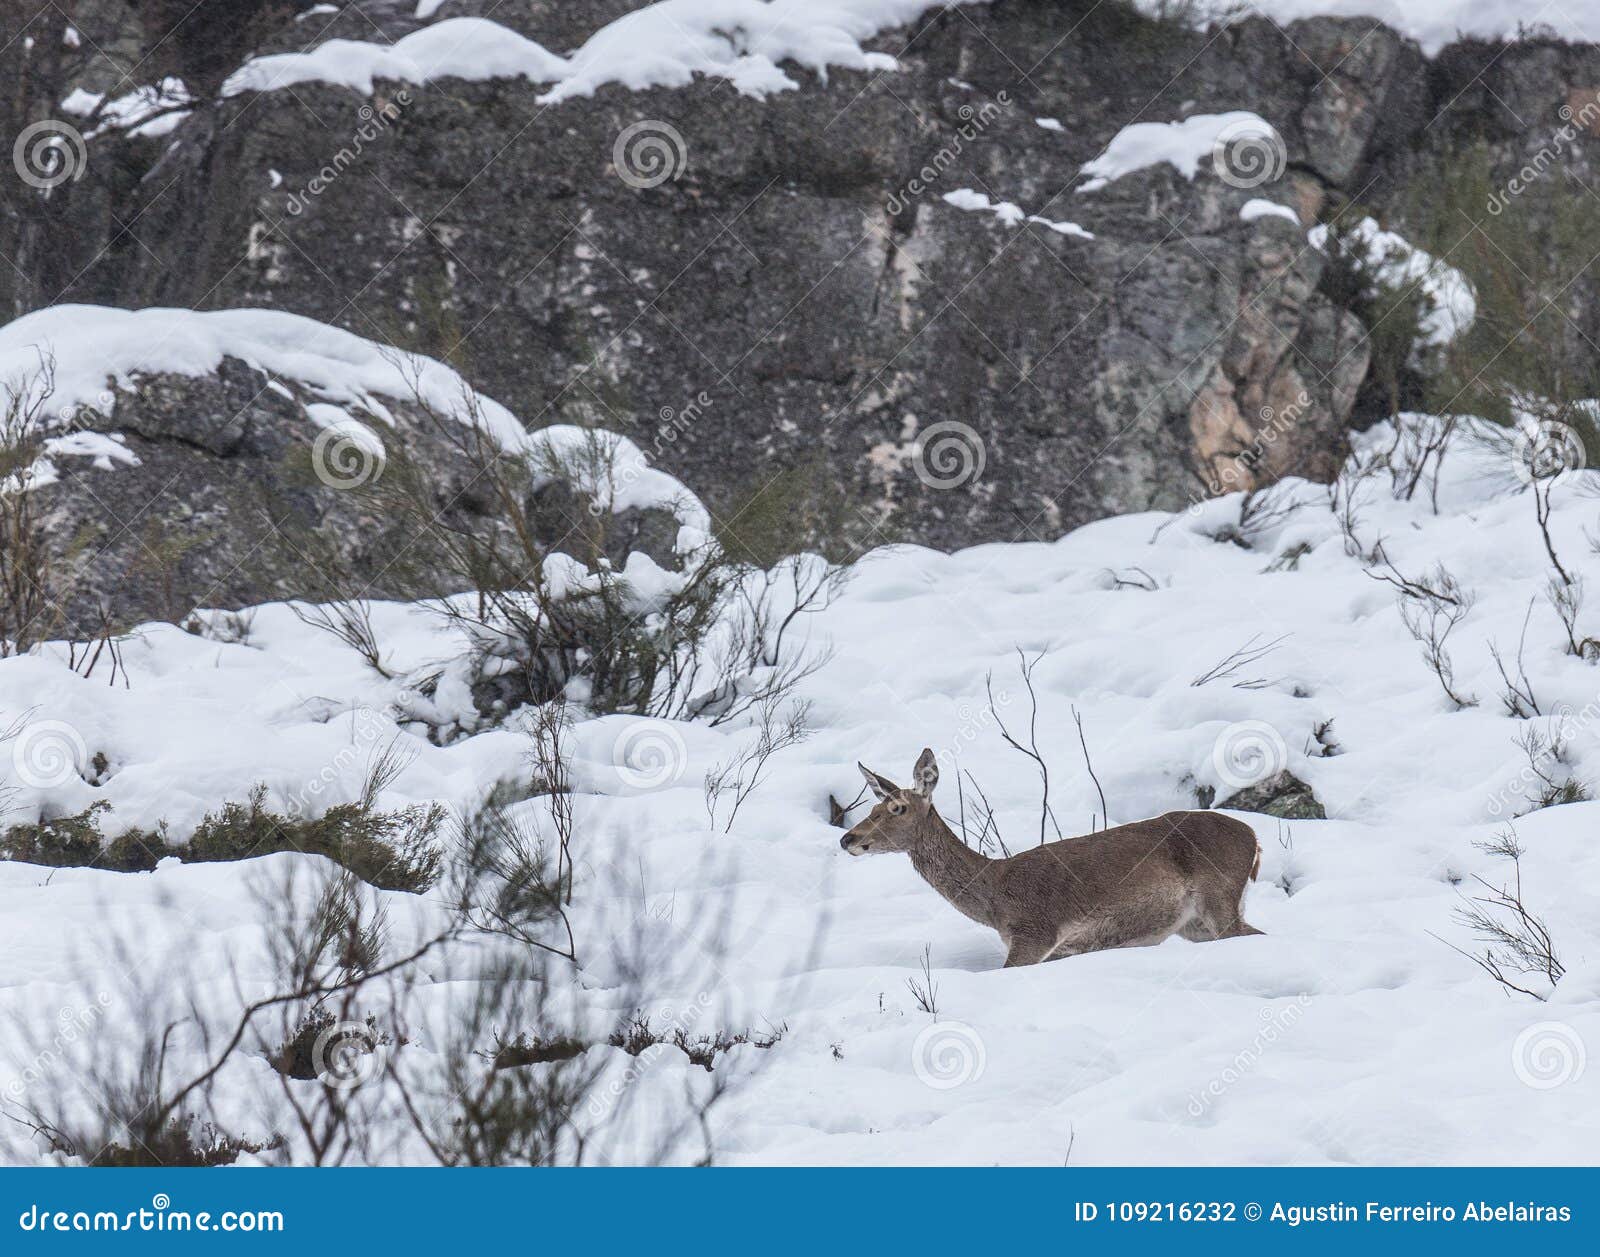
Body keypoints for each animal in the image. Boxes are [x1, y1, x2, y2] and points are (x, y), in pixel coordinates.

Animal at [840, 749, 1262, 967]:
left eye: (896, 808)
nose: (848, 838)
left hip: (1218, 895)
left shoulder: (1036, 932)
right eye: (873, 807)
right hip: (1196, 923)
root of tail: (1255, 839)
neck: (996, 898)